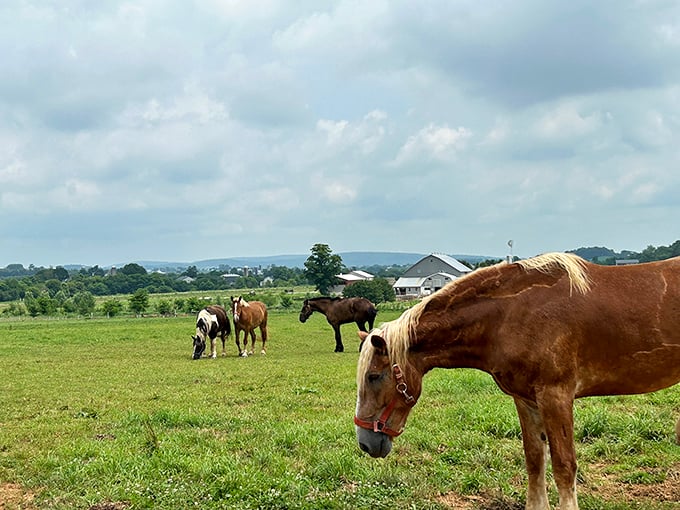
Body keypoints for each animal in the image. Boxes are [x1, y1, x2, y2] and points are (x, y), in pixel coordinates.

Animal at [354, 253, 680, 510]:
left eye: (373, 376)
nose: (365, 443)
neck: (510, 315)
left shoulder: (556, 398)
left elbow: (564, 467)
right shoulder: (526, 400)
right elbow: (535, 461)